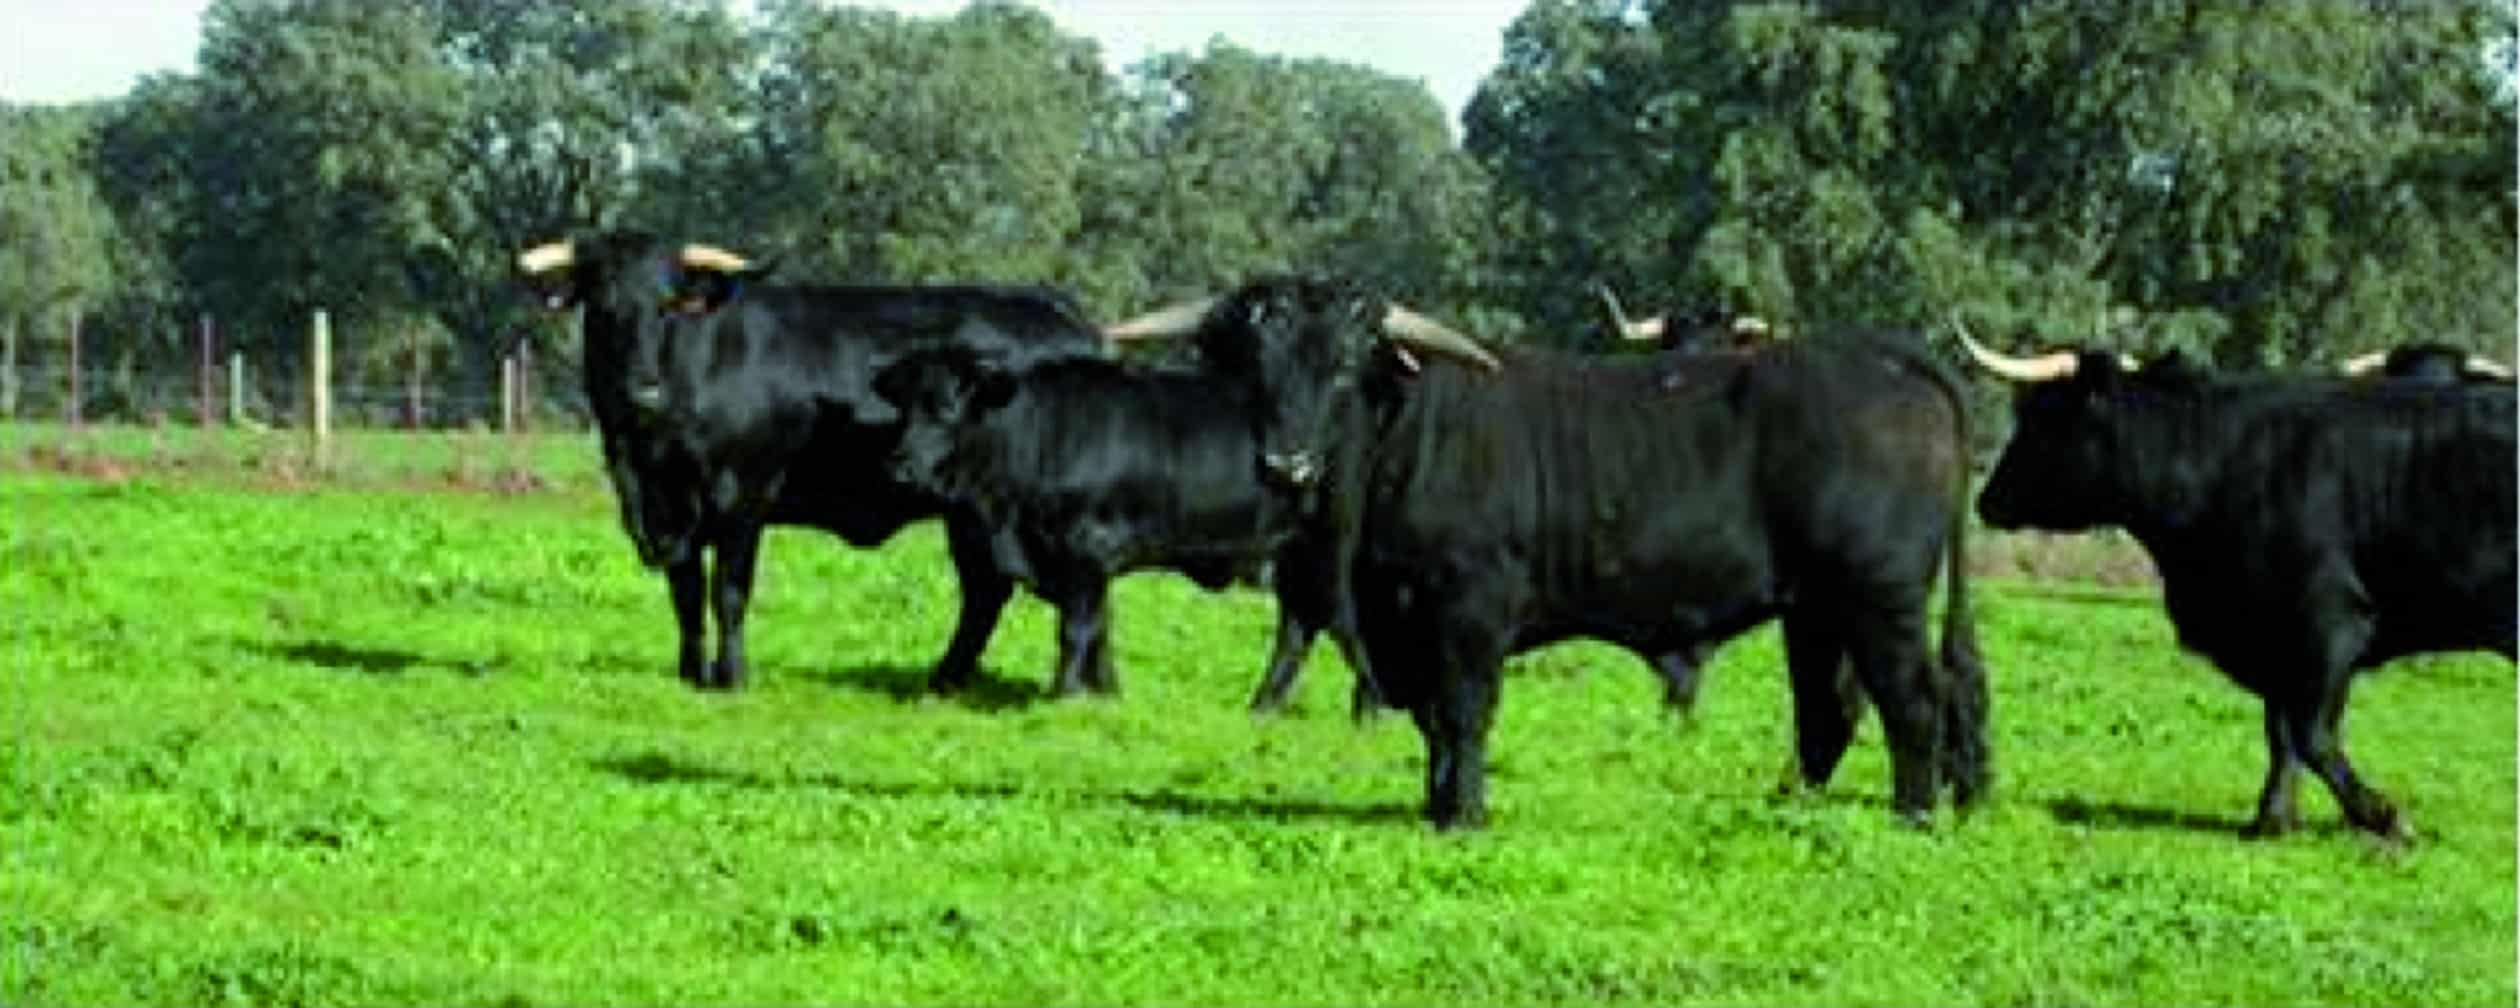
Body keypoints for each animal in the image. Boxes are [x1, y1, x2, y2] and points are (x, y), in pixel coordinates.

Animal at [515, 230, 1107, 695]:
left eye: (669, 305)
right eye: (604, 305)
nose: (644, 390)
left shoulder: (741, 497)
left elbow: (728, 591)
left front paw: (732, 677)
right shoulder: (669, 510)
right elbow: (686, 596)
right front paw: (691, 676)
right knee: (996, 594)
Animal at [1109, 278, 1990, 830]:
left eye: (1344, 367)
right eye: (1253, 366)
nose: (1285, 466)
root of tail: (1885, 354)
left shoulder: (1468, 609)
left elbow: (1463, 711)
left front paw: (1464, 815)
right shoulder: (1404, 623)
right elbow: (1431, 720)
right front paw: (1434, 804)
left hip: (1879, 597)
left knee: (1915, 699)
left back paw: (1913, 814)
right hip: (1817, 609)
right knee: (1832, 707)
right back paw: (1795, 802)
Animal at [1961, 331, 2516, 841]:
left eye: (2043, 420)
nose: (1987, 500)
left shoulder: (2331, 622)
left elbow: (2313, 734)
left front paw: (2382, 816)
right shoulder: (2274, 636)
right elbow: (2281, 732)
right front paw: (2272, 820)